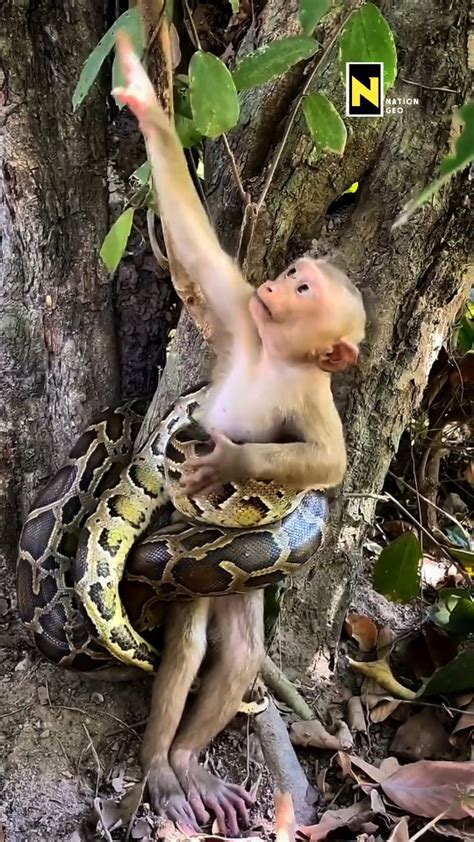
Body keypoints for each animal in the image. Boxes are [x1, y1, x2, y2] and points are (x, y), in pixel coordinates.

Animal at [113, 32, 366, 837]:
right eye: (288, 274)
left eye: (306, 286)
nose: (278, 285)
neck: (272, 353)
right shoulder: (230, 310)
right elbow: (192, 243)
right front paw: (143, 96)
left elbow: (325, 458)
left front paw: (228, 459)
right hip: (186, 574)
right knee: (188, 646)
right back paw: (165, 771)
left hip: (244, 580)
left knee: (244, 656)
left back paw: (194, 763)